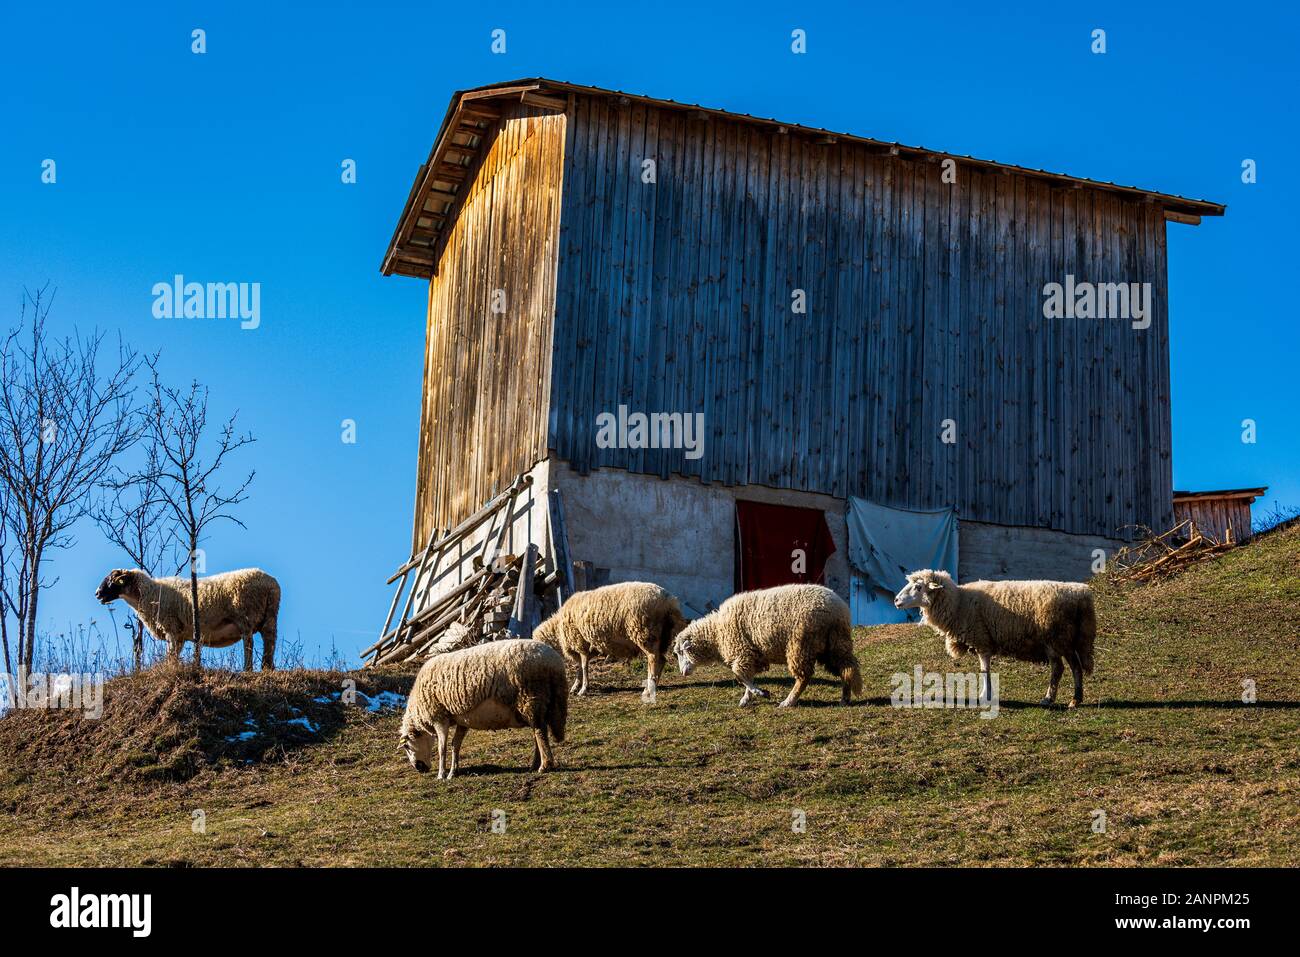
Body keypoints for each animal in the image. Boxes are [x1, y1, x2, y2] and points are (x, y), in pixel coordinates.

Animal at [94, 567, 281, 670]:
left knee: (248, 643)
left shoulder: (171, 627)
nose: (97, 594)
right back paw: (267, 667)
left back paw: (248, 668)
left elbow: (171, 654)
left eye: (112, 580)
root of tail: (271, 584)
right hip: (269, 617)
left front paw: (170, 668)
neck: (150, 593)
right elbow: (175, 653)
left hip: (245, 616)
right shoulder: (181, 635)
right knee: (270, 641)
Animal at [398, 639, 568, 778]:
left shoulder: (439, 717)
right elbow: (455, 745)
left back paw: (545, 766)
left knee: (540, 732)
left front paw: (441, 775)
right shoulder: (462, 720)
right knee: (537, 732)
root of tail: (554, 663)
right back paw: (534, 765)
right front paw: (453, 772)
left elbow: (442, 748)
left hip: (531, 698)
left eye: (406, 746)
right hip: (542, 702)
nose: (419, 769)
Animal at [533, 581, 687, 703]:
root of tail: (670, 601)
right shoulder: (583, 646)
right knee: (661, 660)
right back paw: (652, 686)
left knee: (654, 659)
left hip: (645, 633)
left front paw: (583, 689)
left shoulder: (580, 643)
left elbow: (583, 667)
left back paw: (649, 688)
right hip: (662, 636)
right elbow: (579, 668)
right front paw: (575, 686)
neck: (558, 629)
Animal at [670, 584, 862, 708]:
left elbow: (740, 676)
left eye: (681, 652)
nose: (683, 672)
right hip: (836, 643)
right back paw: (845, 698)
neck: (716, 634)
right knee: (847, 667)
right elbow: (746, 678)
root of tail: (838, 610)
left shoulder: (742, 652)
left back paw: (788, 702)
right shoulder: (752, 656)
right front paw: (746, 699)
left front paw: (761, 693)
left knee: (803, 677)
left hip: (800, 644)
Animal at [892, 569, 1096, 707]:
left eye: (918, 587)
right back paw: (1076, 699)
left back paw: (1048, 698)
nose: (895, 600)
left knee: (1058, 668)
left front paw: (985, 696)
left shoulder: (982, 639)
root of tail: (1081, 595)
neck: (959, 602)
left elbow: (985, 670)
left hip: (1053, 638)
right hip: (1068, 639)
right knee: (1076, 667)